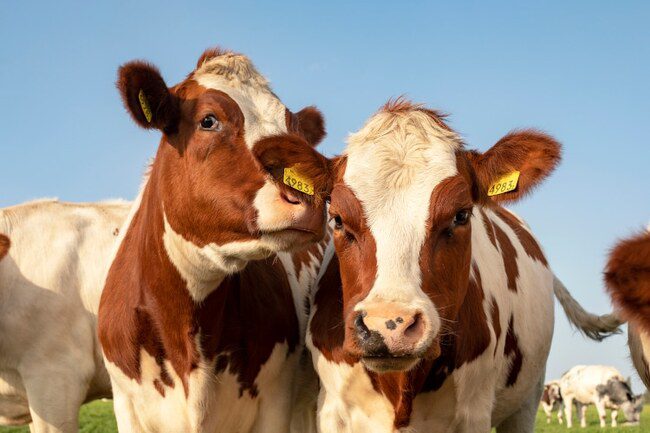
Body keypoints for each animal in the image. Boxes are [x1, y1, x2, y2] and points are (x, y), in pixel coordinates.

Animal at [306, 99, 622, 433]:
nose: (389, 326)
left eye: (460, 215)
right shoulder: (332, 409)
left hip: (528, 399)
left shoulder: (474, 412)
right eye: (338, 219)